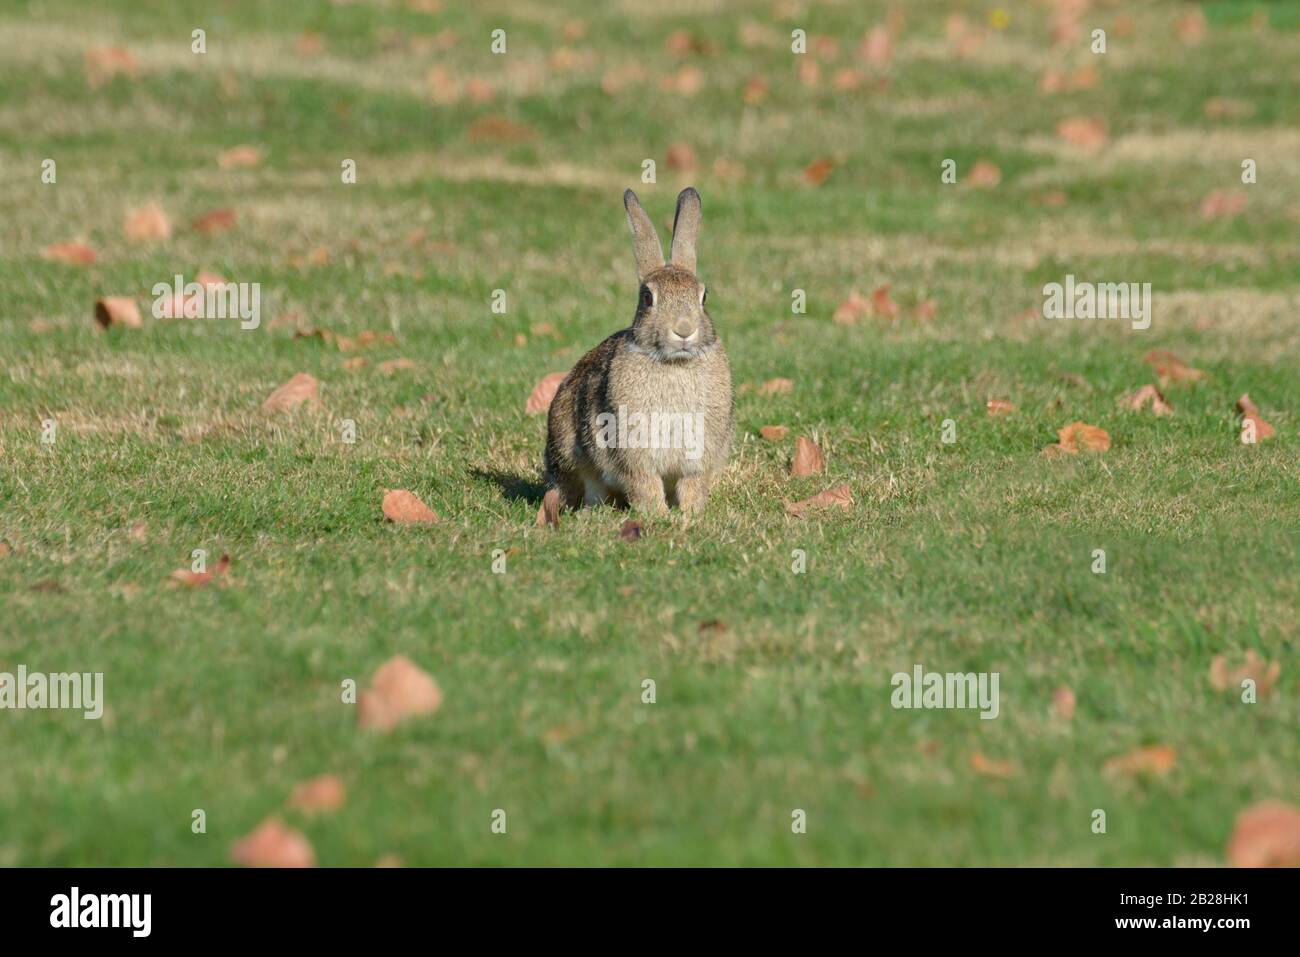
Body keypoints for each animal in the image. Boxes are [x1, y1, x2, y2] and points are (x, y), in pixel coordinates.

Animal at [544, 187, 733, 516]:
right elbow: (645, 484)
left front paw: (690, 515)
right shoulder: (634, 454)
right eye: (647, 298)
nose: (684, 329)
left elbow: (691, 485)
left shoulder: (698, 458)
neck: (674, 363)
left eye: (703, 296)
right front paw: (659, 515)